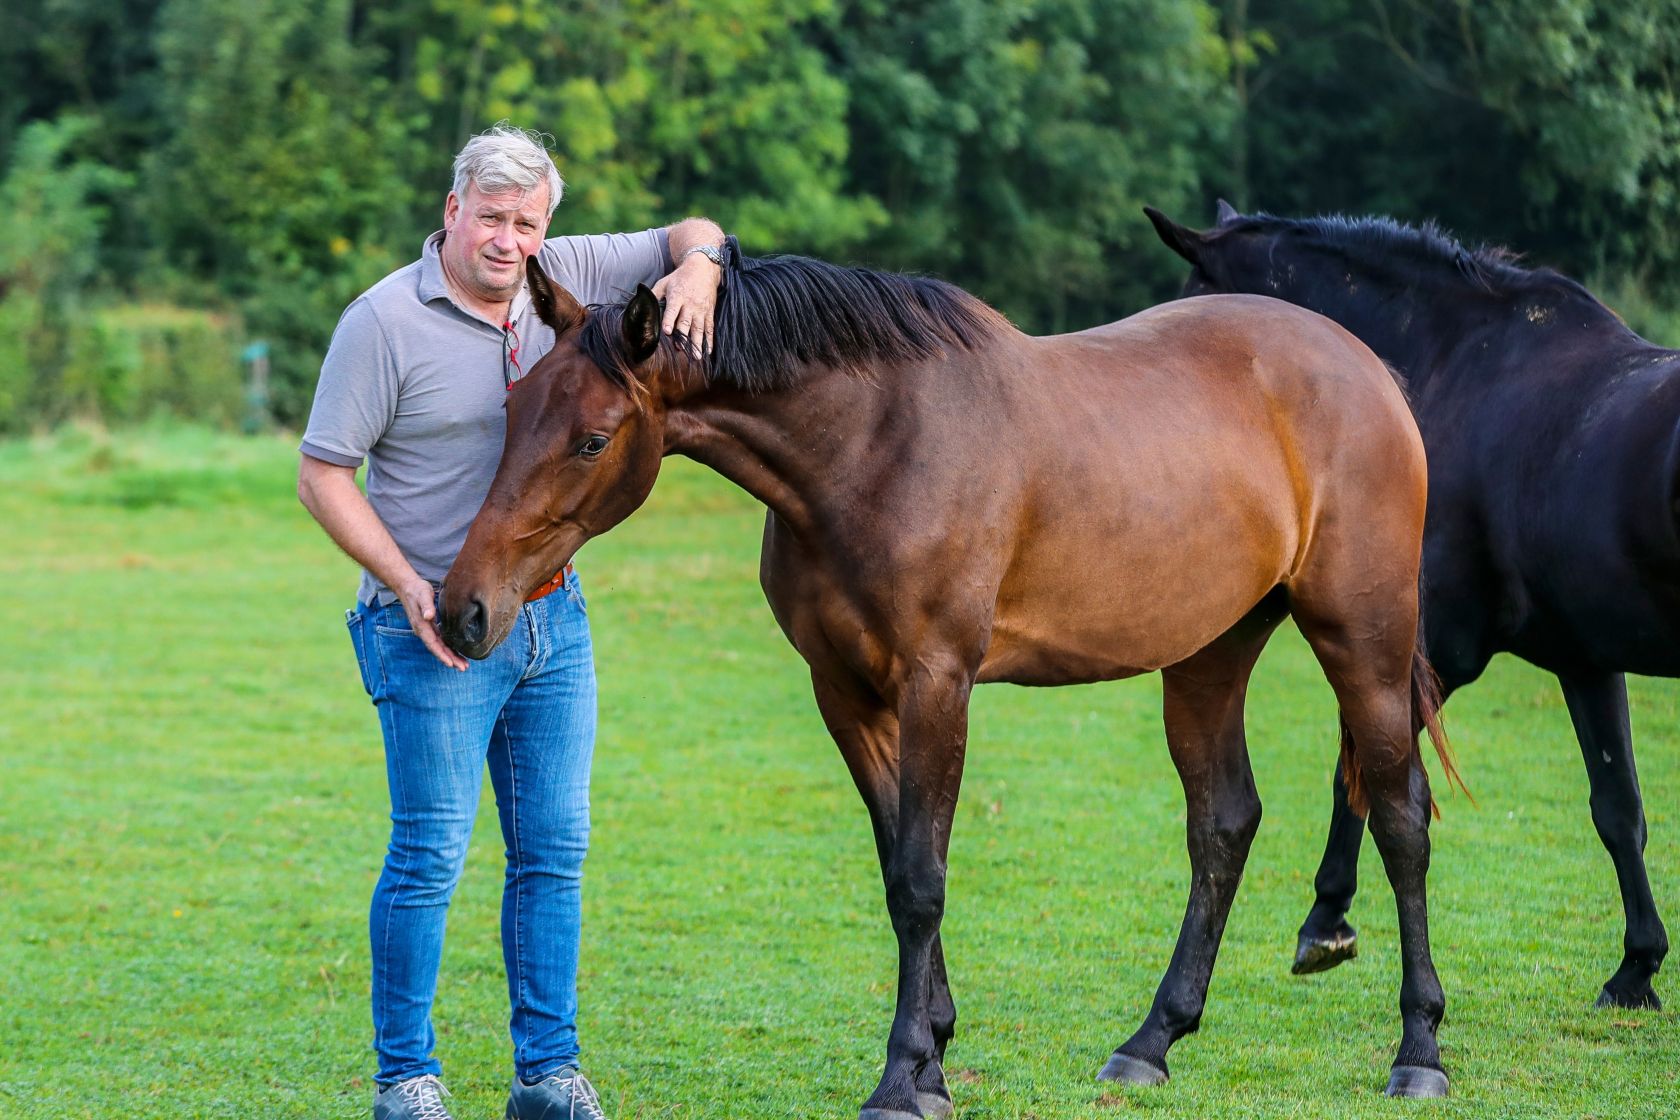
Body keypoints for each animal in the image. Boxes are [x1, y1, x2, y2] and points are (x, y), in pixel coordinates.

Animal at [439, 242, 1459, 1111]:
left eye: (591, 439)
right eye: (511, 411)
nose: (464, 609)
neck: (873, 446)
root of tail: (1367, 371)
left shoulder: (937, 684)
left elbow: (922, 880)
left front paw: (901, 1078)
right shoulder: (847, 695)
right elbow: (898, 864)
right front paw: (931, 1053)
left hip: (1360, 642)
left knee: (1400, 816)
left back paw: (1419, 1053)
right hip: (1210, 656)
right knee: (1224, 823)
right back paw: (1150, 1042)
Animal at [1146, 201, 1679, 1010]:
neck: (1464, 370)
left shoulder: (1435, 645)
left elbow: (1365, 772)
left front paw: (1326, 919)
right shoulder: (1585, 659)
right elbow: (1619, 808)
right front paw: (1637, 966)